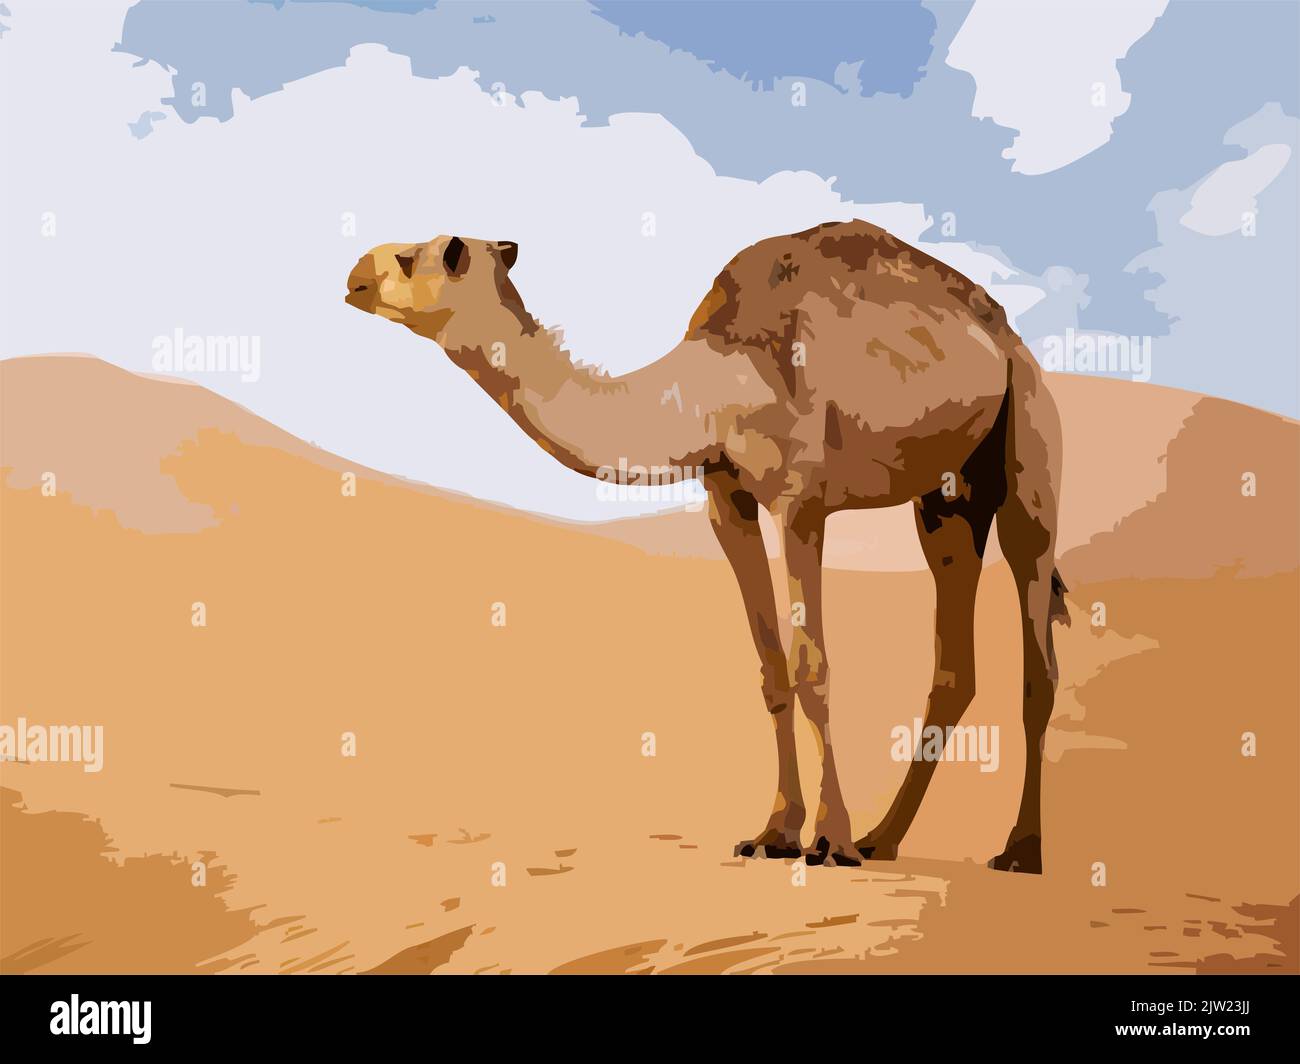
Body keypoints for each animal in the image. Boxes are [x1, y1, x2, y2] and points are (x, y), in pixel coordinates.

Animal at [345, 221, 1069, 873]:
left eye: (412, 256)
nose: (354, 275)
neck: (716, 387)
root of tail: (1009, 340)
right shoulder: (726, 496)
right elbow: (771, 670)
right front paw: (775, 836)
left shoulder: (801, 501)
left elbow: (813, 667)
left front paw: (829, 842)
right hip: (947, 498)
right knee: (954, 664)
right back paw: (883, 839)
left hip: (1029, 436)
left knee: (1037, 641)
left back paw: (1020, 851)